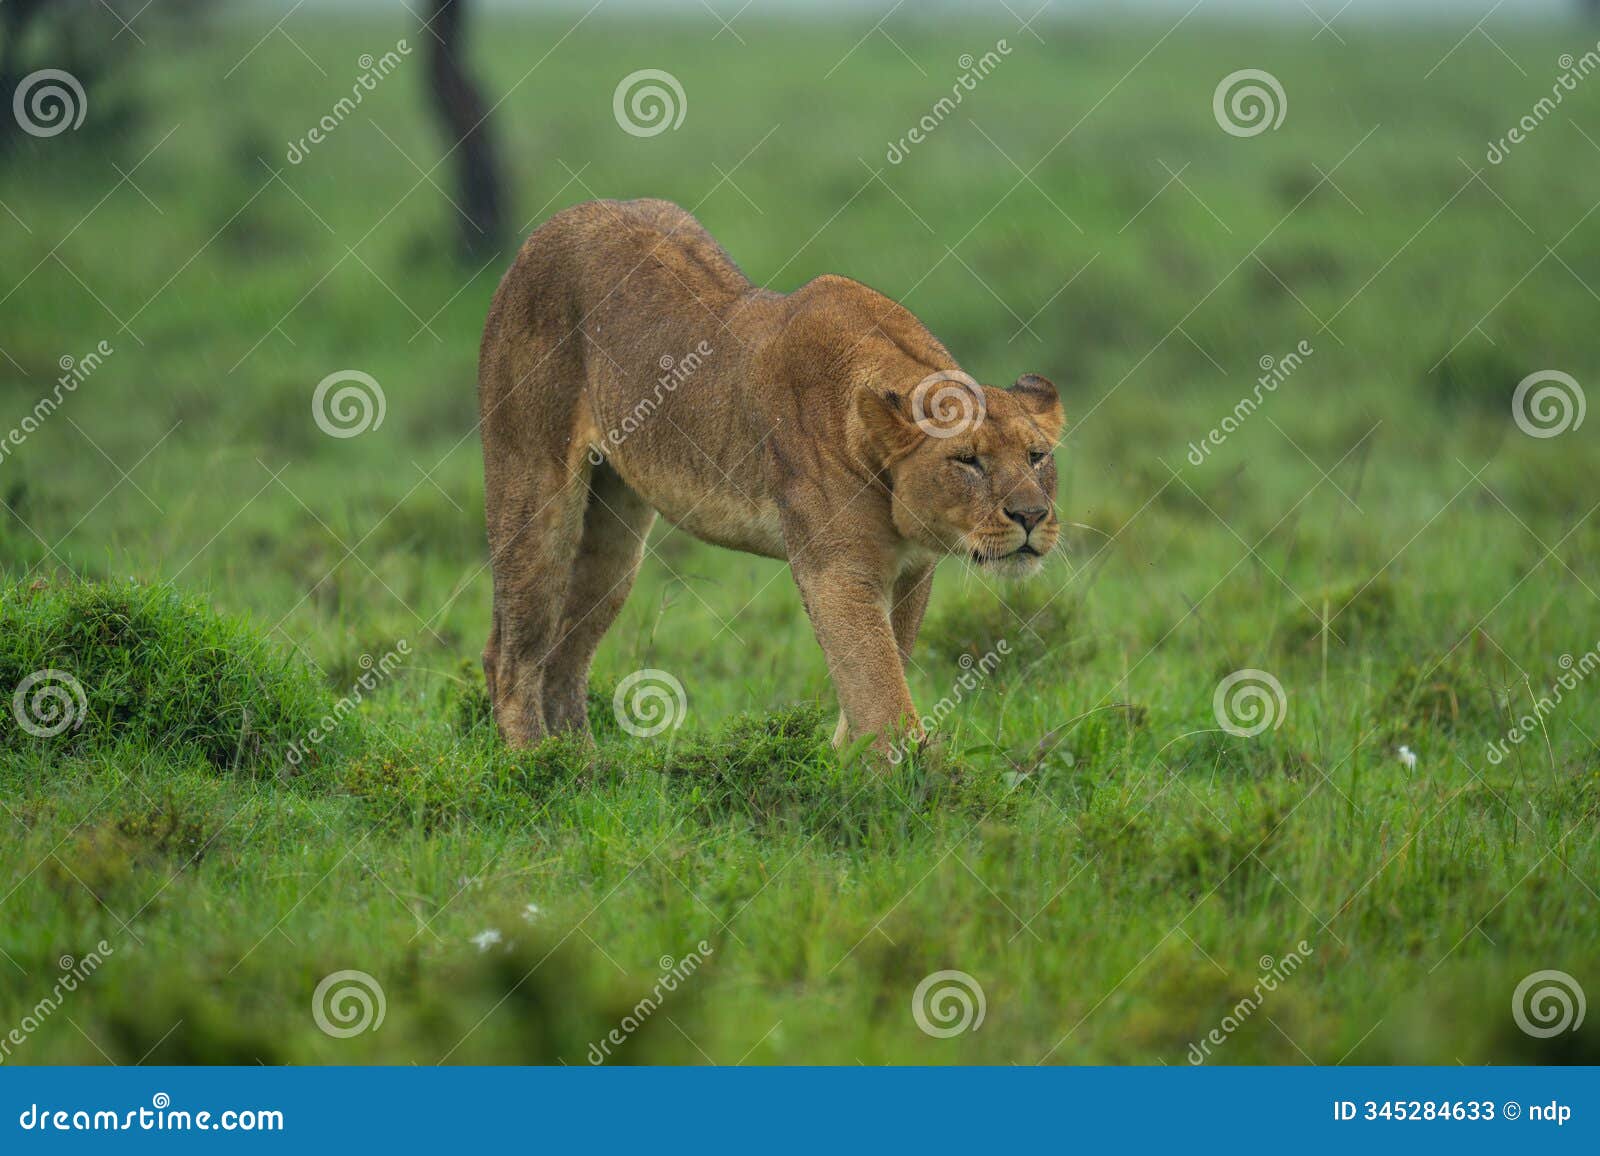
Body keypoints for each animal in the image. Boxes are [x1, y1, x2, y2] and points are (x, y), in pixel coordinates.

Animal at [477, 198, 1063, 751]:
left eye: (1036, 457)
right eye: (967, 460)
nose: (1032, 516)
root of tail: (549, 229)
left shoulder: (913, 570)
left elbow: (879, 672)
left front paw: (846, 763)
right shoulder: (837, 571)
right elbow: (878, 687)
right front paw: (904, 776)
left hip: (614, 539)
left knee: (565, 655)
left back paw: (584, 765)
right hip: (535, 495)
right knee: (510, 653)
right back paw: (536, 764)